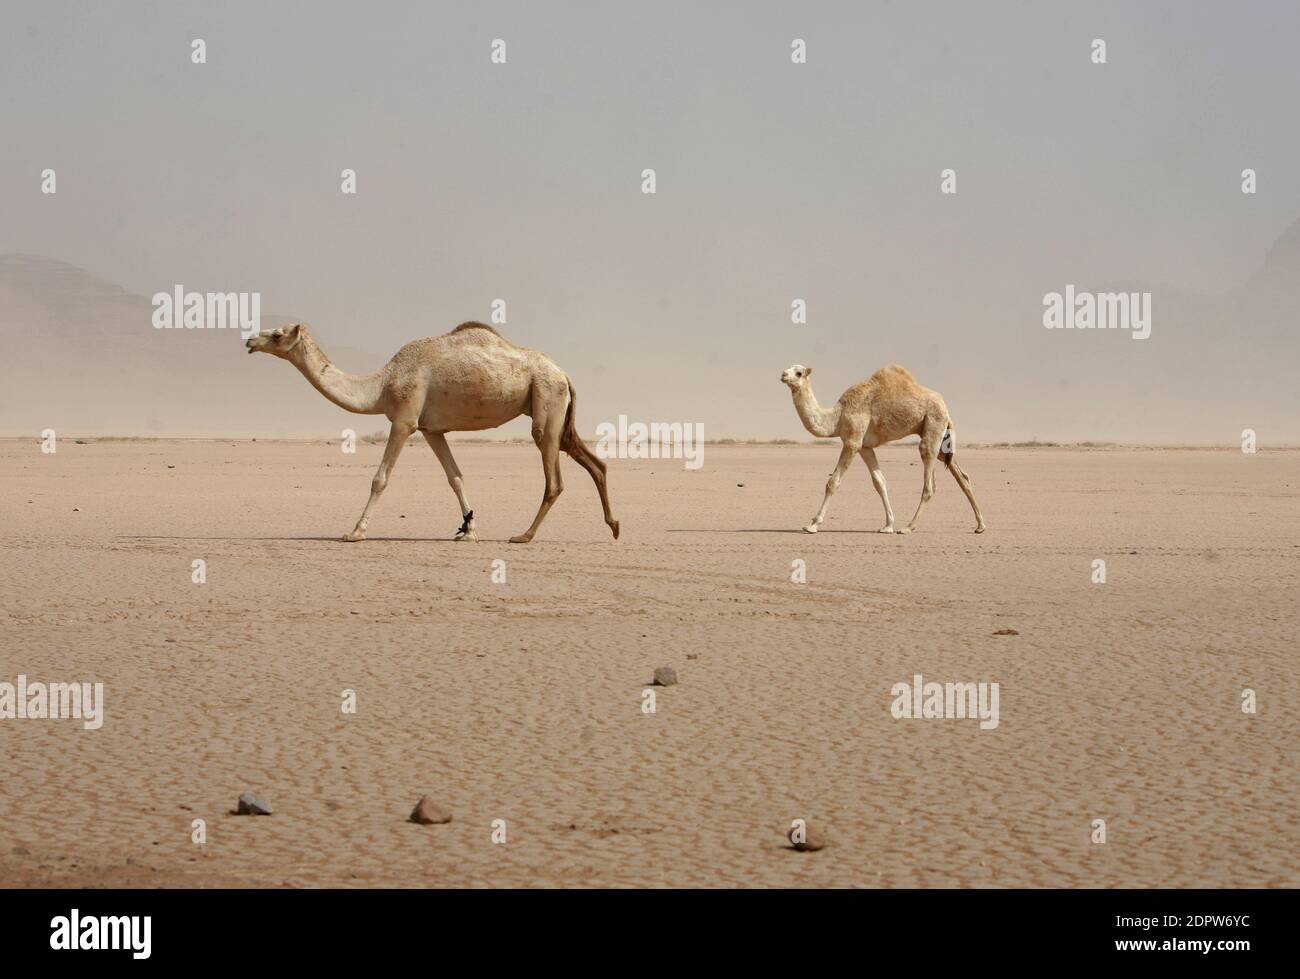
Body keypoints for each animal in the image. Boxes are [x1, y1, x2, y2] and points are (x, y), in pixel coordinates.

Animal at [246, 322, 619, 544]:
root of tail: (564, 373)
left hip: (546, 403)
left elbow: (380, 478)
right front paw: (467, 530)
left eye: (278, 334)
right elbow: (455, 477)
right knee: (595, 462)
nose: (250, 339)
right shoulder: (431, 430)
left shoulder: (404, 420)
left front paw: (355, 532)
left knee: (554, 478)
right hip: (557, 411)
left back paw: (524, 536)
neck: (383, 384)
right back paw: (614, 526)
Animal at [780, 363, 985, 535]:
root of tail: (947, 410)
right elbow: (879, 481)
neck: (836, 417)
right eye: (788, 367)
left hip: (933, 426)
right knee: (962, 476)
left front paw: (812, 524)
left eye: (798, 372)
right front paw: (887, 525)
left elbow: (833, 482)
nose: (783, 374)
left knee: (929, 483)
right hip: (942, 440)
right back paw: (980, 525)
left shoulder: (852, 442)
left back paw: (908, 527)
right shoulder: (864, 447)